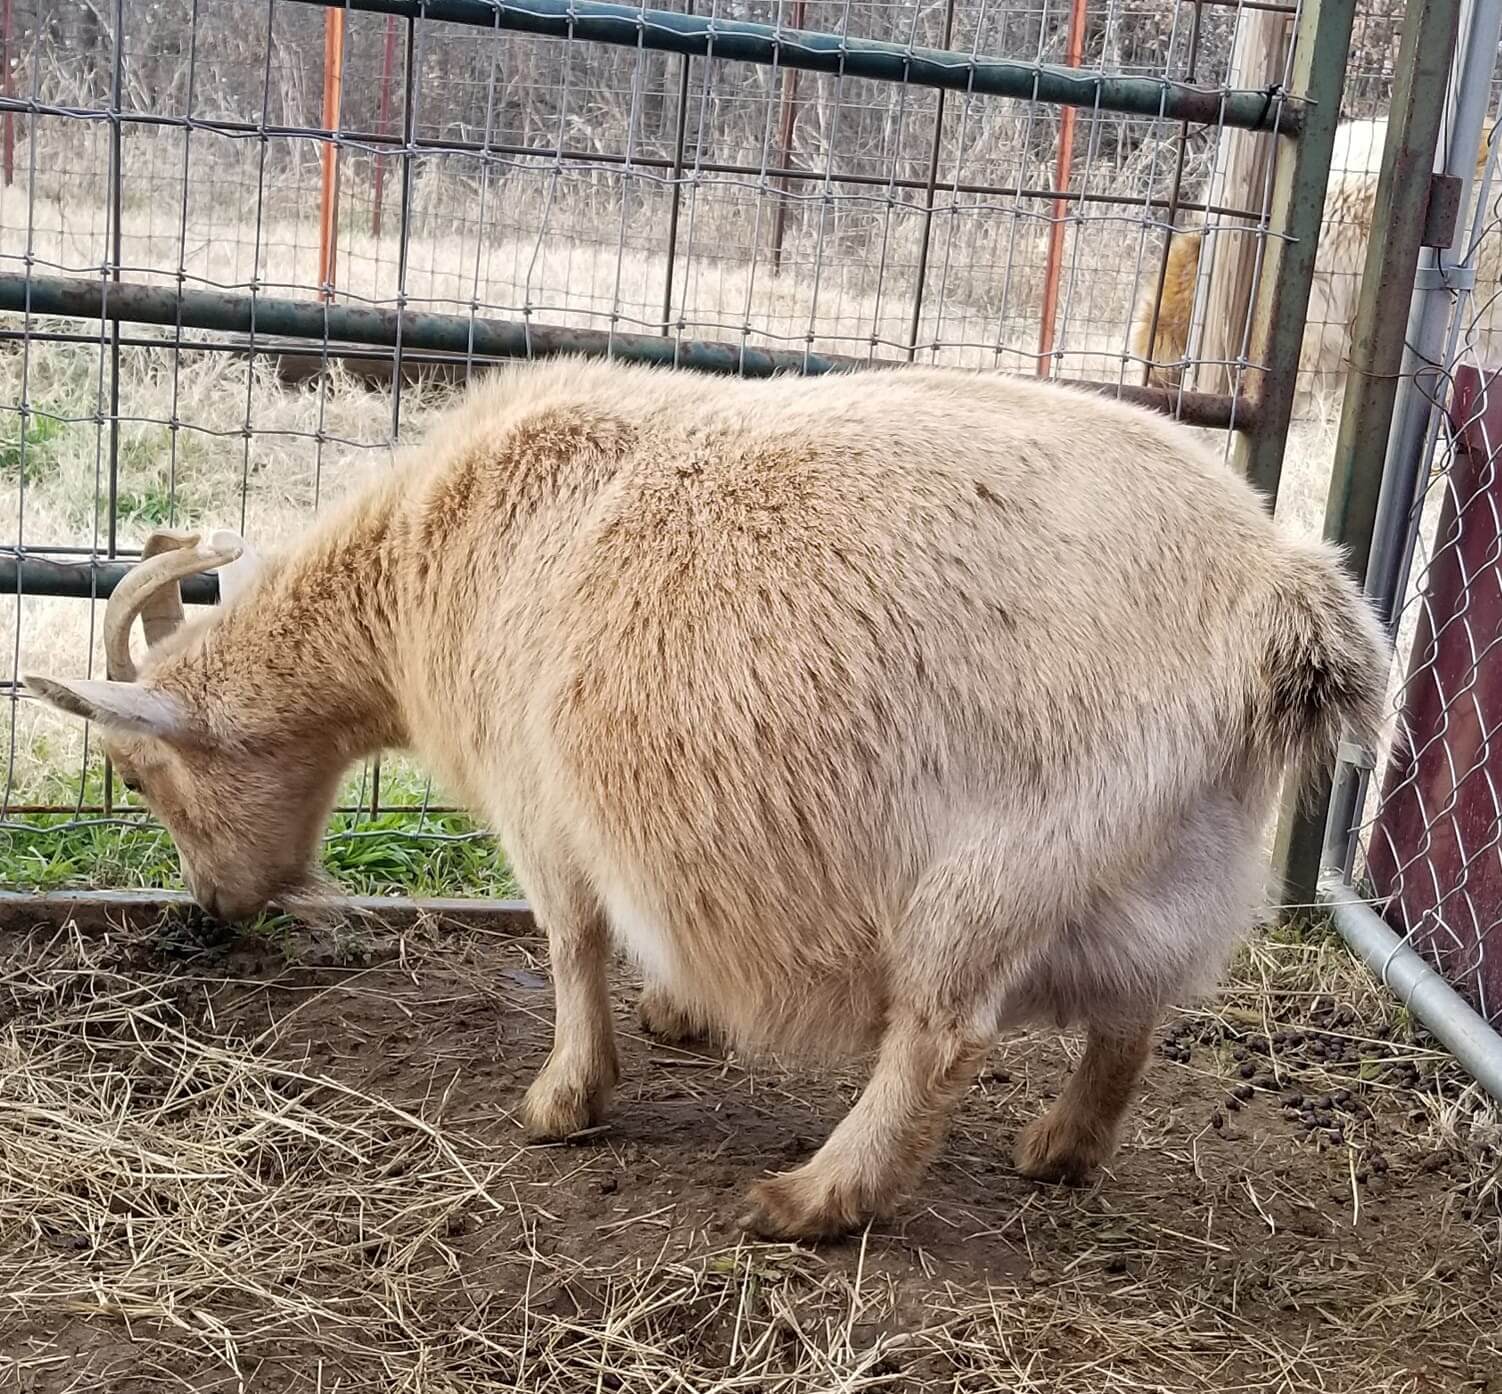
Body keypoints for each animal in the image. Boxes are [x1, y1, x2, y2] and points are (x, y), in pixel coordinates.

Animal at [26, 357, 1386, 1241]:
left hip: (997, 866)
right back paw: (1058, 1149)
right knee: (1133, 1015)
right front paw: (681, 1014)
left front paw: (563, 1100)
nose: (214, 905)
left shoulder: (543, 800)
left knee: (940, 1034)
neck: (433, 550)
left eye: (139, 771)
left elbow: (573, 941)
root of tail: (1278, 597)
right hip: (1167, 864)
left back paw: (811, 1200)